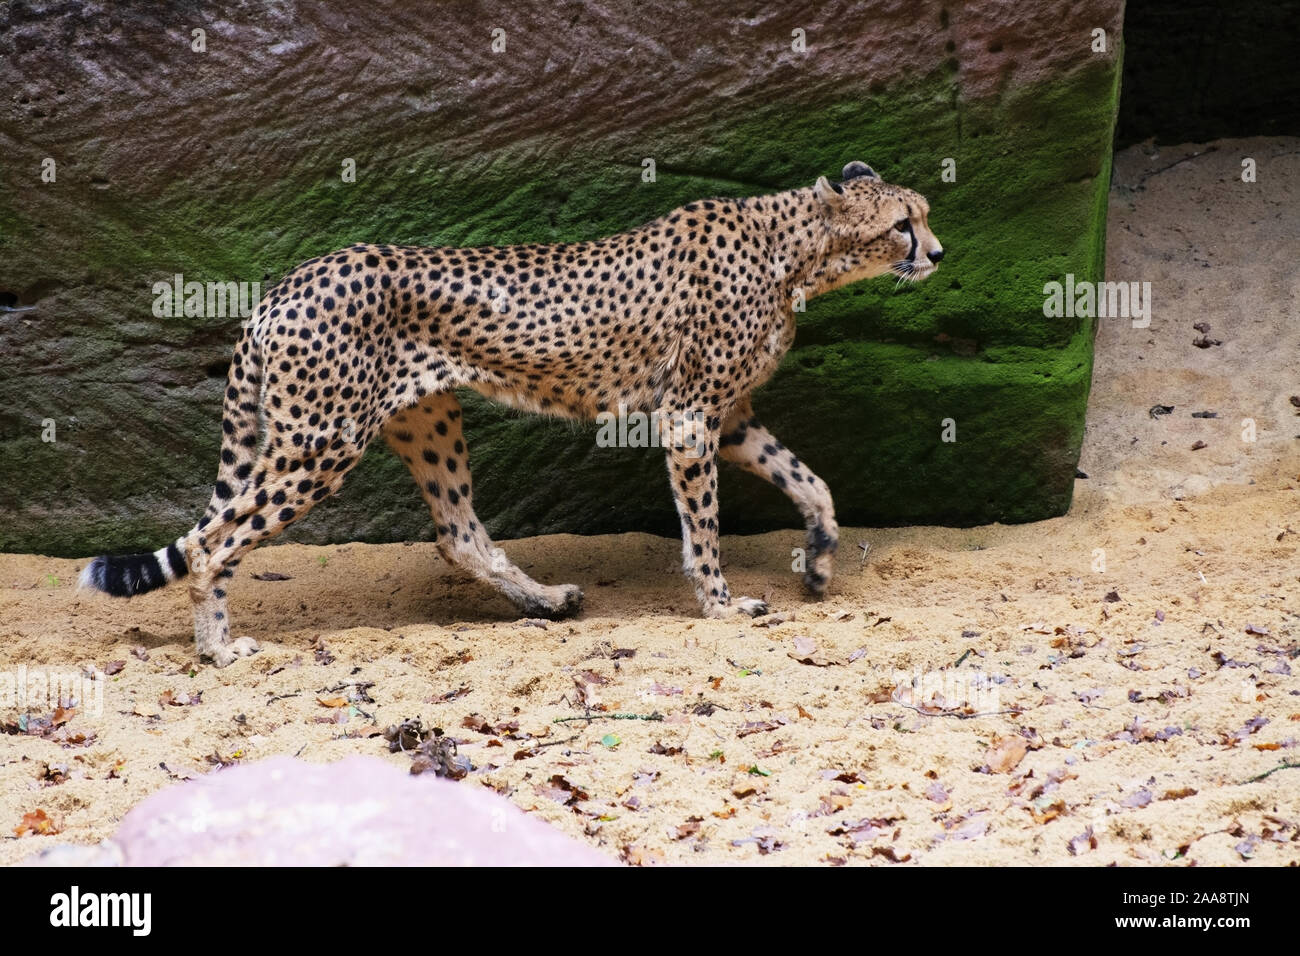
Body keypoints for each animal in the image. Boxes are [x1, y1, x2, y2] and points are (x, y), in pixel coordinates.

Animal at [79, 160, 943, 666]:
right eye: (904, 222)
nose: (936, 253)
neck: (795, 250)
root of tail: (284, 285)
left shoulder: (728, 417)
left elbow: (811, 481)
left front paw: (821, 558)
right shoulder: (692, 414)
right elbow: (704, 527)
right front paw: (721, 606)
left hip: (424, 418)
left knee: (455, 532)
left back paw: (545, 601)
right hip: (319, 443)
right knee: (213, 540)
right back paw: (218, 650)